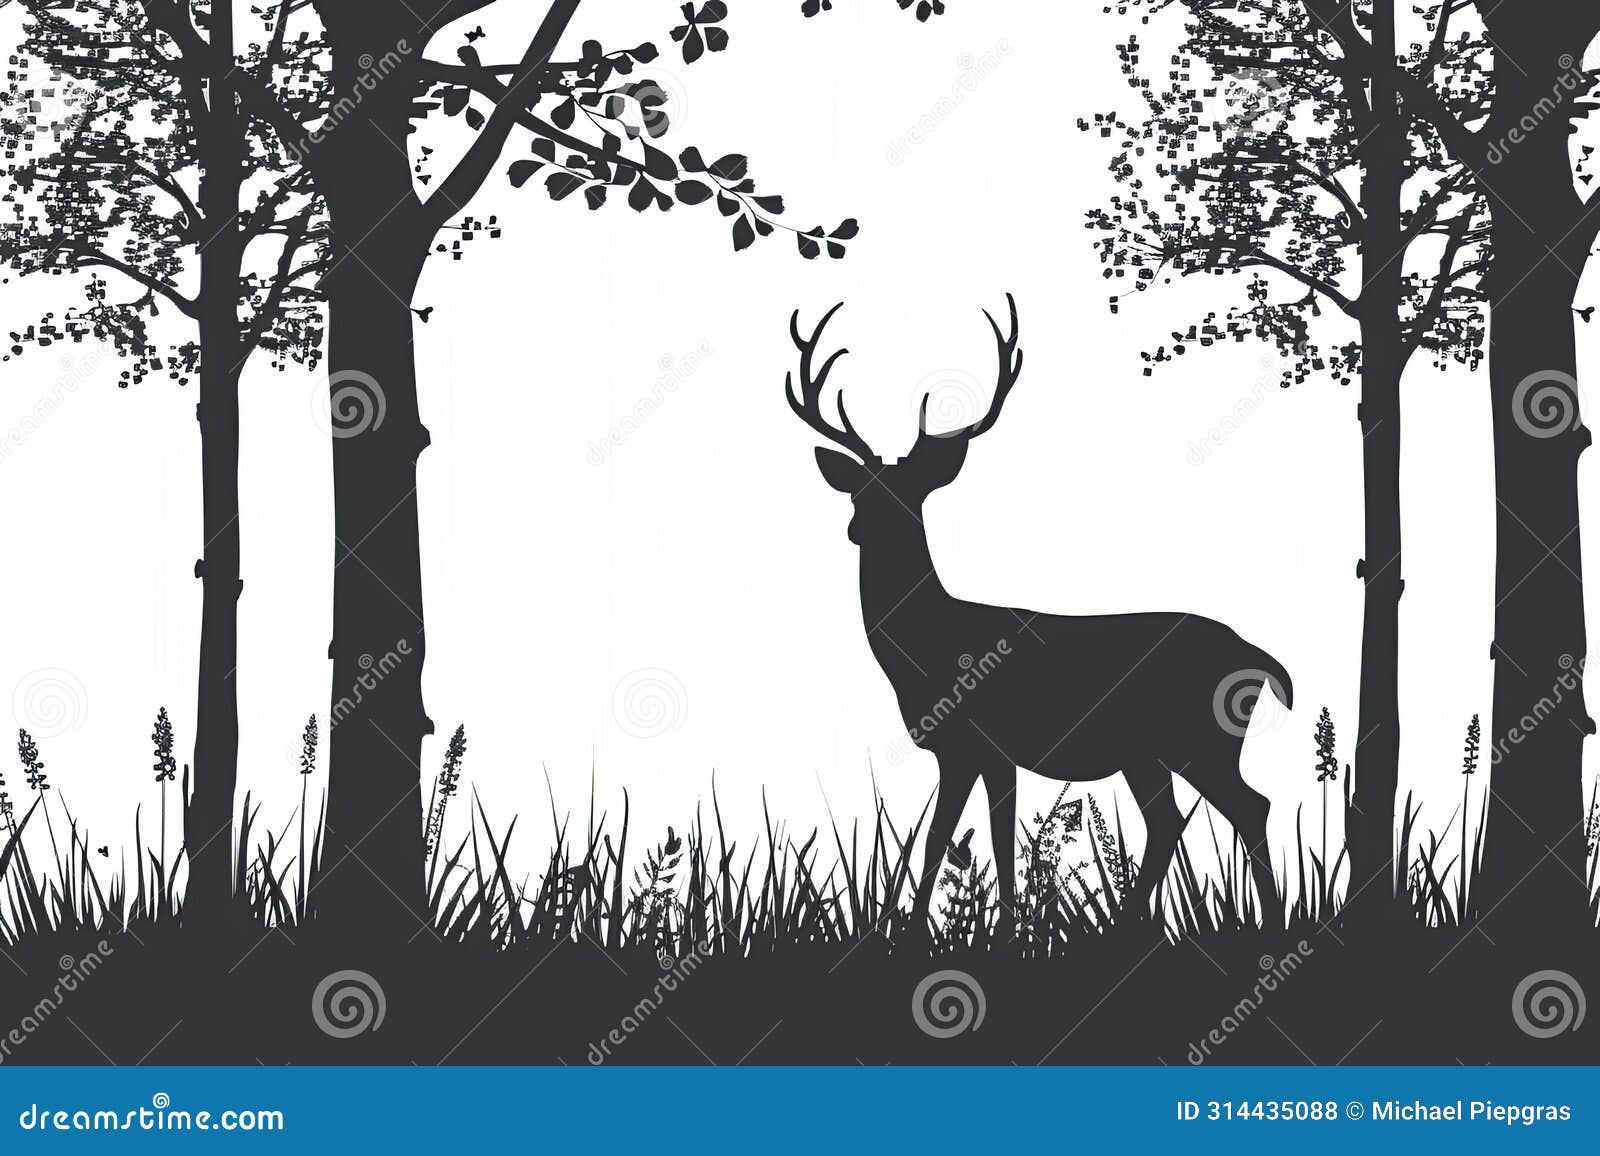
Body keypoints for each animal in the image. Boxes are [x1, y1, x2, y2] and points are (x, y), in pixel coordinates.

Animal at [784, 296, 1292, 936]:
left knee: (1250, 805)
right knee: (1171, 819)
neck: (927, 651)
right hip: (1147, 753)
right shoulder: (967, 751)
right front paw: (944, 930)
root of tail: (1256, 657)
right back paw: (1130, 927)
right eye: (859, 491)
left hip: (1198, 737)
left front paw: (981, 933)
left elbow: (976, 838)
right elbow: (954, 839)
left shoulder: (983, 743)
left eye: (910, 495)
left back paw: (1267, 923)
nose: (860, 528)